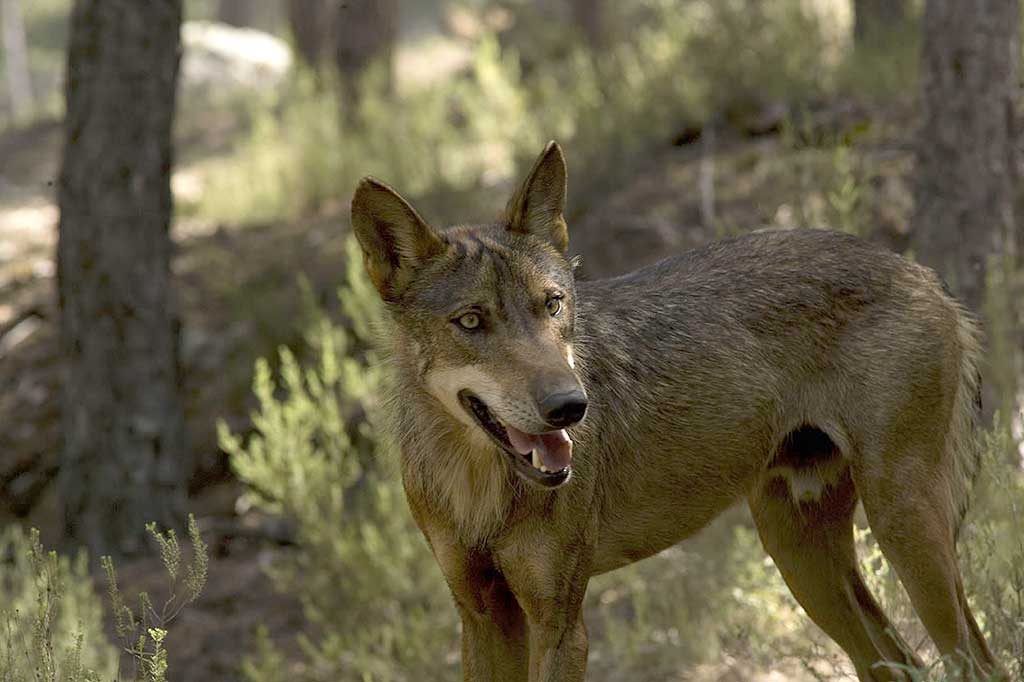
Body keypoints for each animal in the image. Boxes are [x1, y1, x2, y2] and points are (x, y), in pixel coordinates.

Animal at [350, 142, 1006, 681]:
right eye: (470, 321)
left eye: (553, 304)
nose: (570, 407)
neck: (476, 484)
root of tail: (921, 271)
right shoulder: (483, 618)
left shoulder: (562, 626)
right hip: (801, 558)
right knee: (899, 663)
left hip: (901, 529)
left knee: (977, 664)